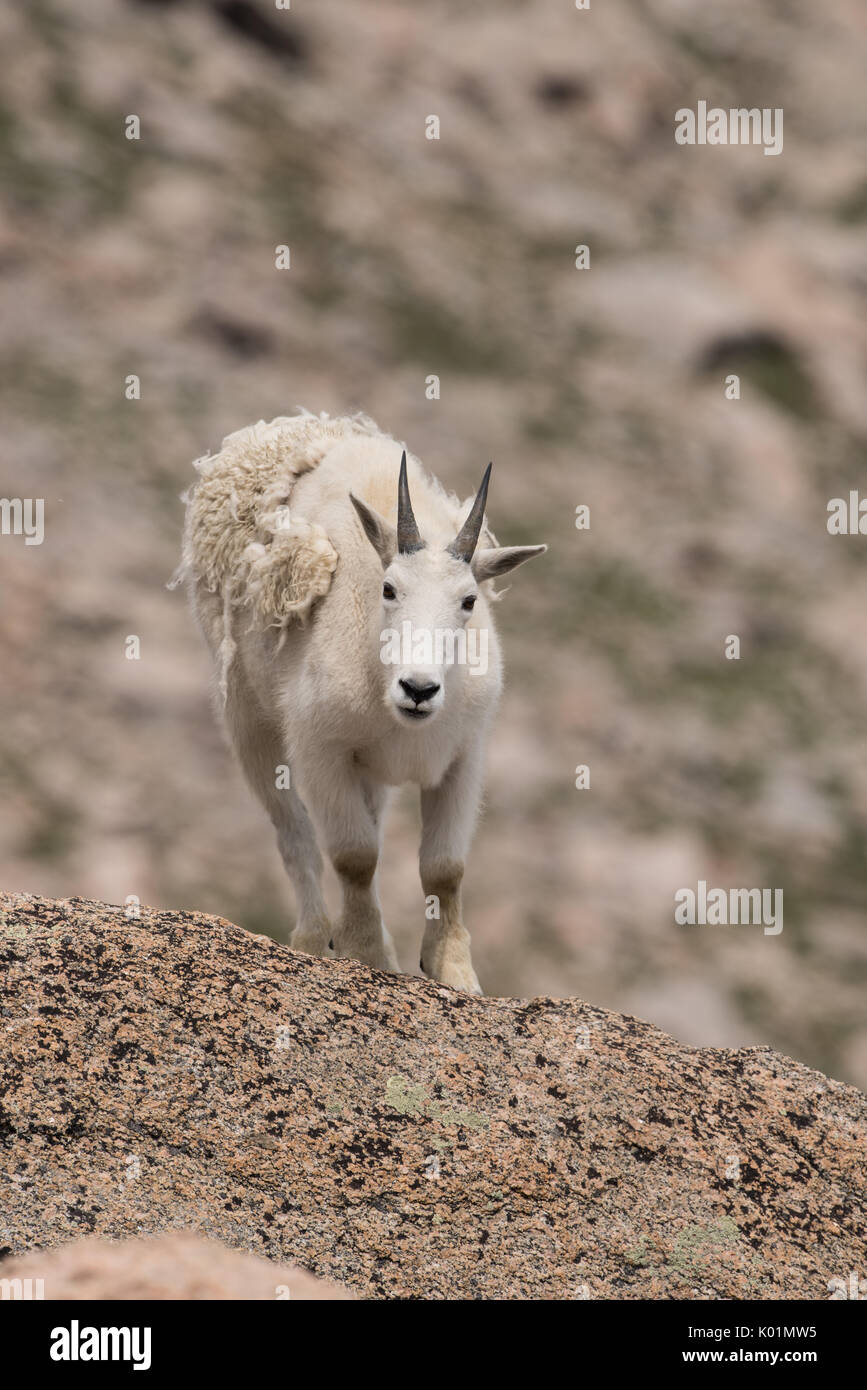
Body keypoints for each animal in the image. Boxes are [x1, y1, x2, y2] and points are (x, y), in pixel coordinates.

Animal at [177, 412, 546, 993]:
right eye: (389, 589)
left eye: (468, 600)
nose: (418, 690)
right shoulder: (322, 751)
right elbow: (355, 855)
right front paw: (368, 954)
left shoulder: (463, 757)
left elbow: (444, 867)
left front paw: (454, 970)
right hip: (246, 716)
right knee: (294, 836)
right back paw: (312, 938)